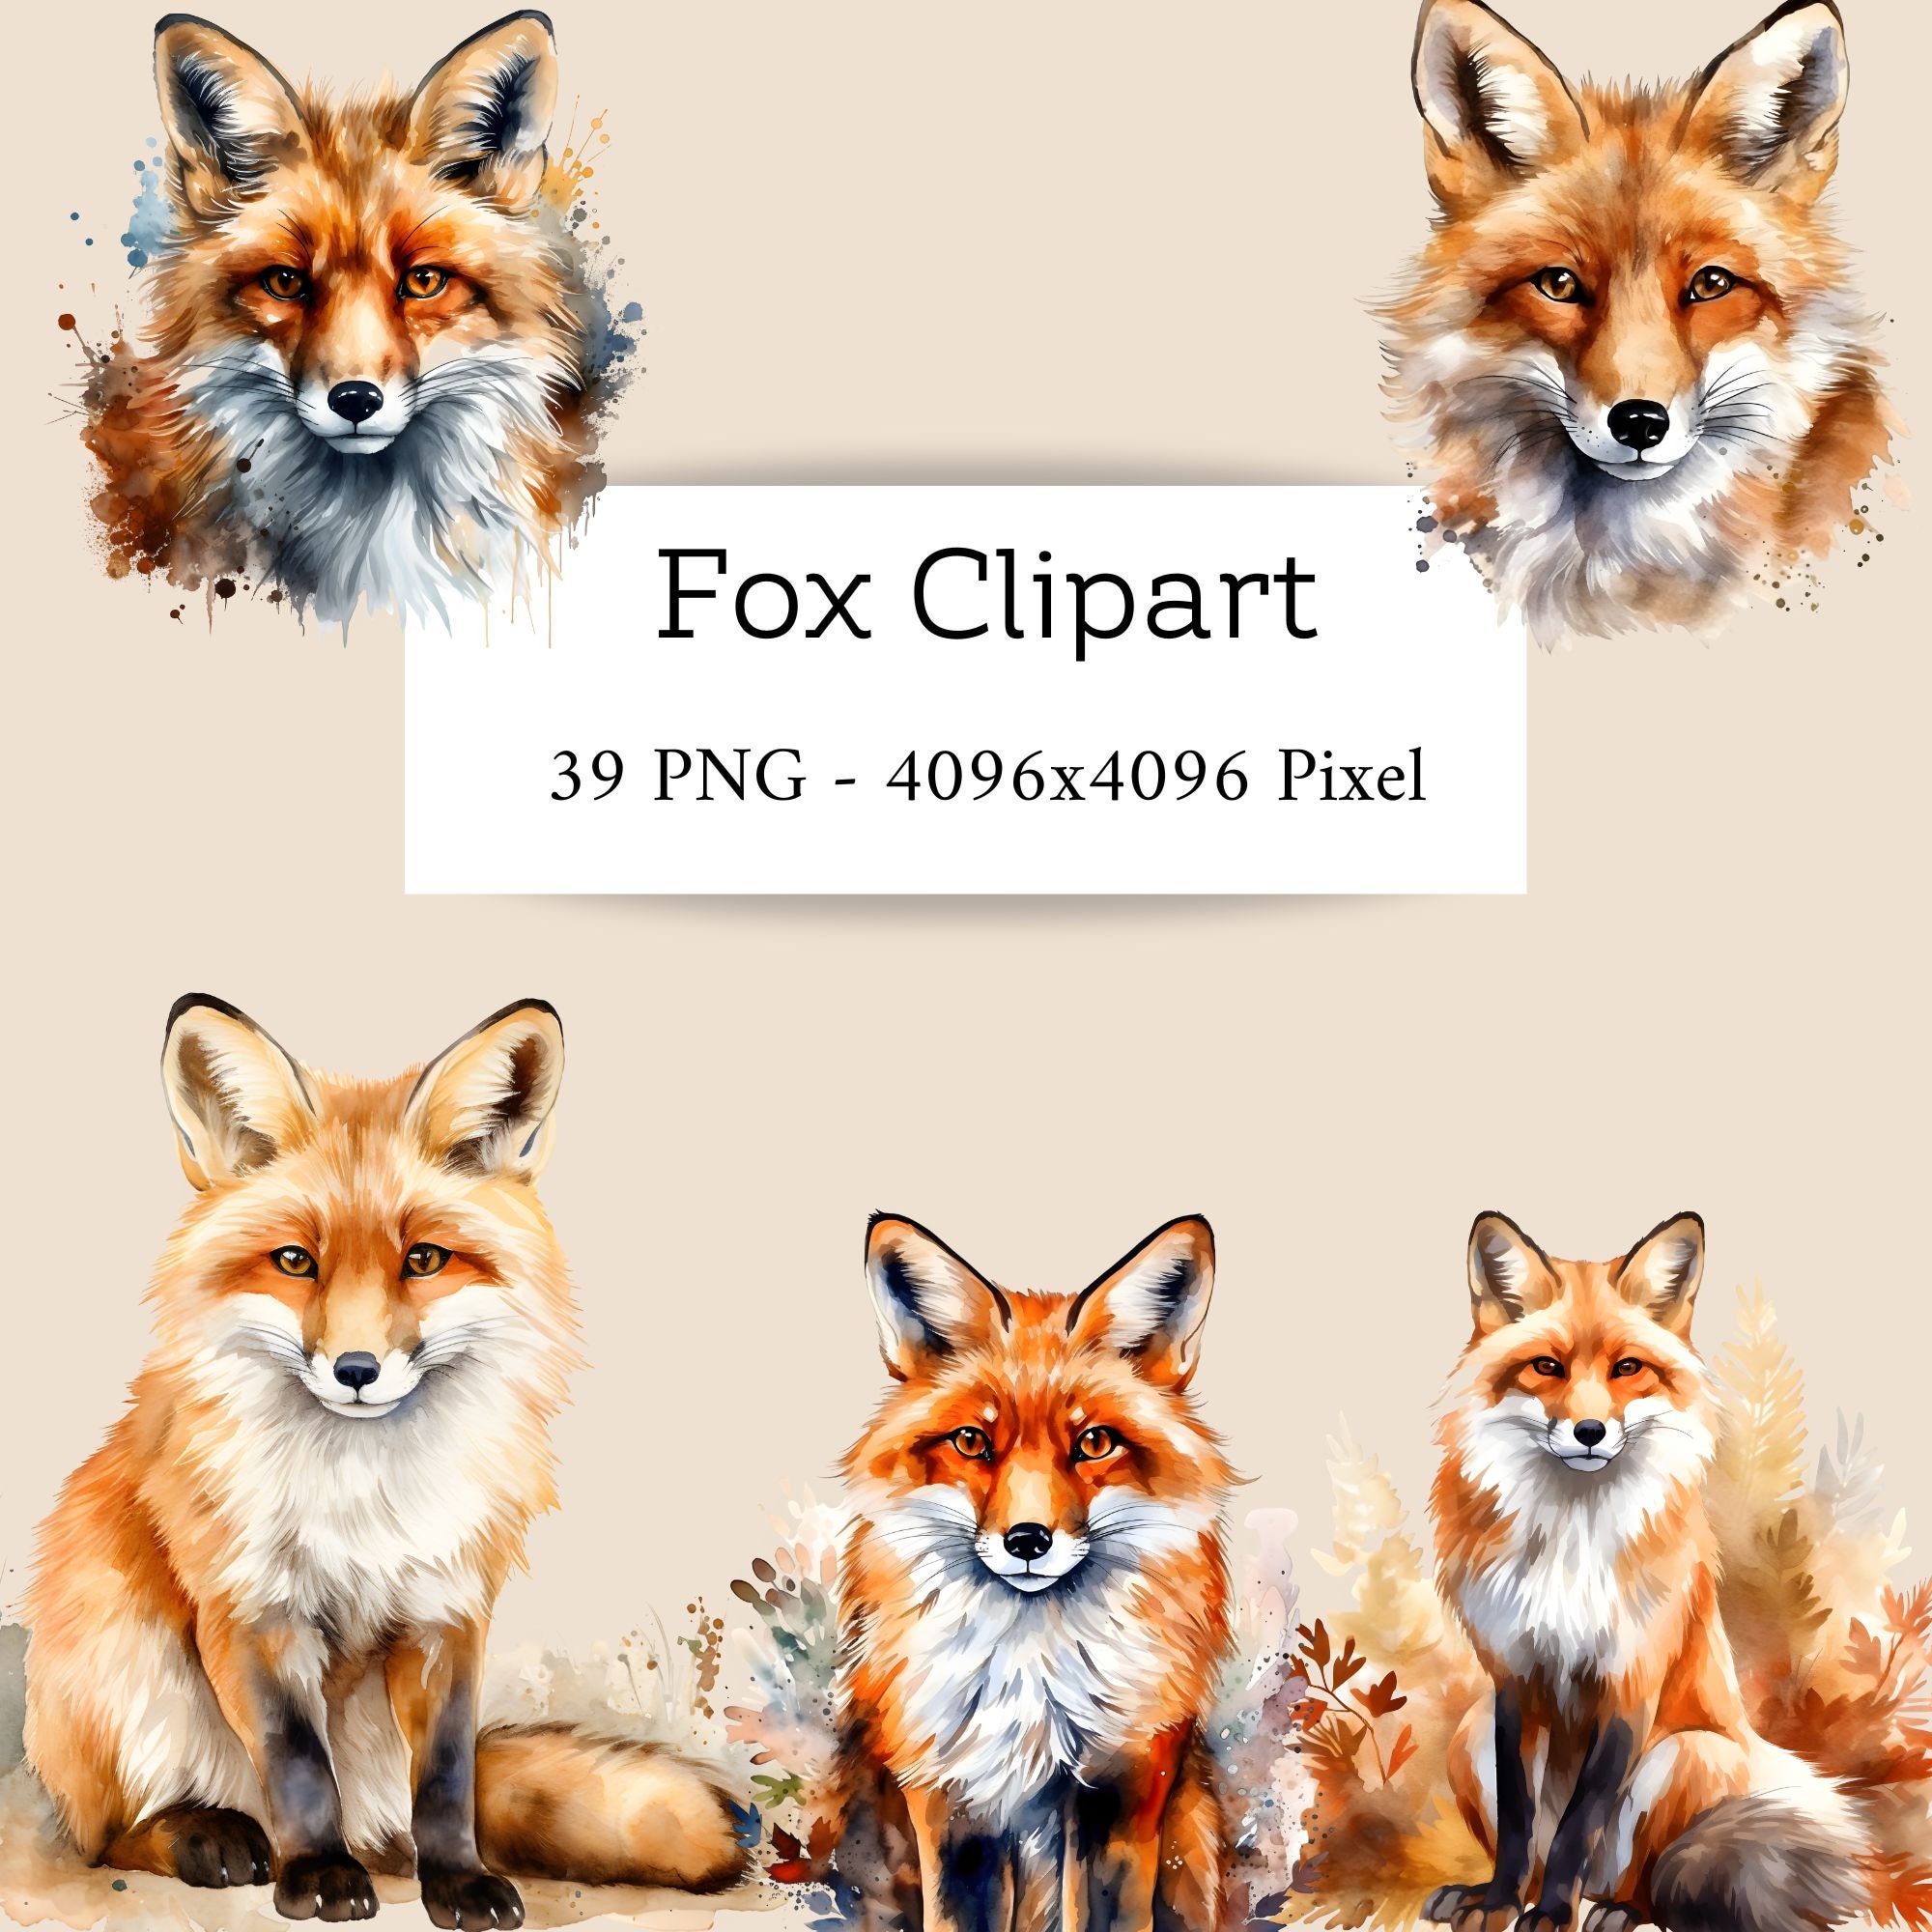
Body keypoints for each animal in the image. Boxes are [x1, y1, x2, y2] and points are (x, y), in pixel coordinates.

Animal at [23, 995, 746, 1925]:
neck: (365, 1498)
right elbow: (299, 1770)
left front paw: (460, 1882)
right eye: (296, 1261)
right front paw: (318, 1876)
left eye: (424, 1260)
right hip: (123, 1659)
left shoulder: (449, 1613)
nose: (357, 1371)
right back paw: (207, 1834)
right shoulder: (254, 1613)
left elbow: (446, 1780)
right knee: (107, 1831)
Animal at [832, 1213, 1235, 1932]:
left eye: (1094, 1442)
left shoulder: (1122, 1798)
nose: (1027, 1540)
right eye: (971, 1442)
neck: (1030, 1678)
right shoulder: (948, 1807)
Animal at [1425, 1210, 1871, 1932]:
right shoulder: (1513, 1680)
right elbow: (1521, 1823)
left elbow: (1580, 1826)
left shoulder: (1631, 1681)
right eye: (1546, 1367)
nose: (1589, 1431)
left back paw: (1615, 1908)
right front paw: (1498, 1904)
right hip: (1470, 1735)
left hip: (1685, 1753)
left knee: (1636, 1874)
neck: (1570, 1541)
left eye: (1628, 1368)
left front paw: (1551, 1916)